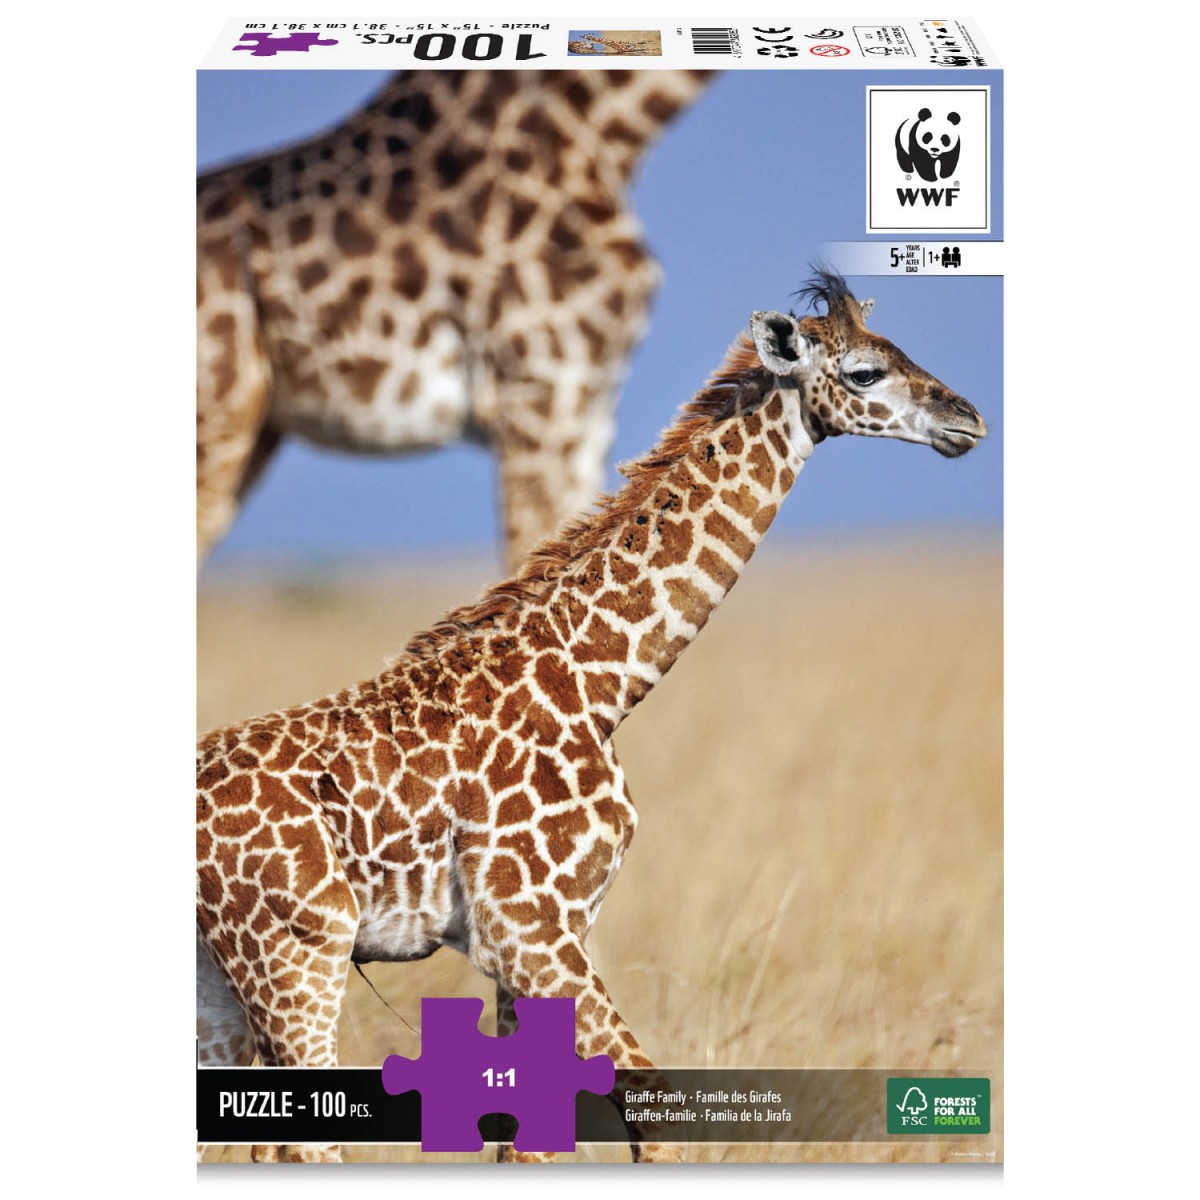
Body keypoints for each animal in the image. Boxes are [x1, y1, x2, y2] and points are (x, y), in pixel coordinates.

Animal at [196, 270, 987, 1162]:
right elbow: (652, 1114)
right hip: (296, 953)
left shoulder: (540, 934)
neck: (600, 683)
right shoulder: (527, 927)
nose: (968, 420)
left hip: (218, 986)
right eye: (864, 373)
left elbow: (523, 1140)